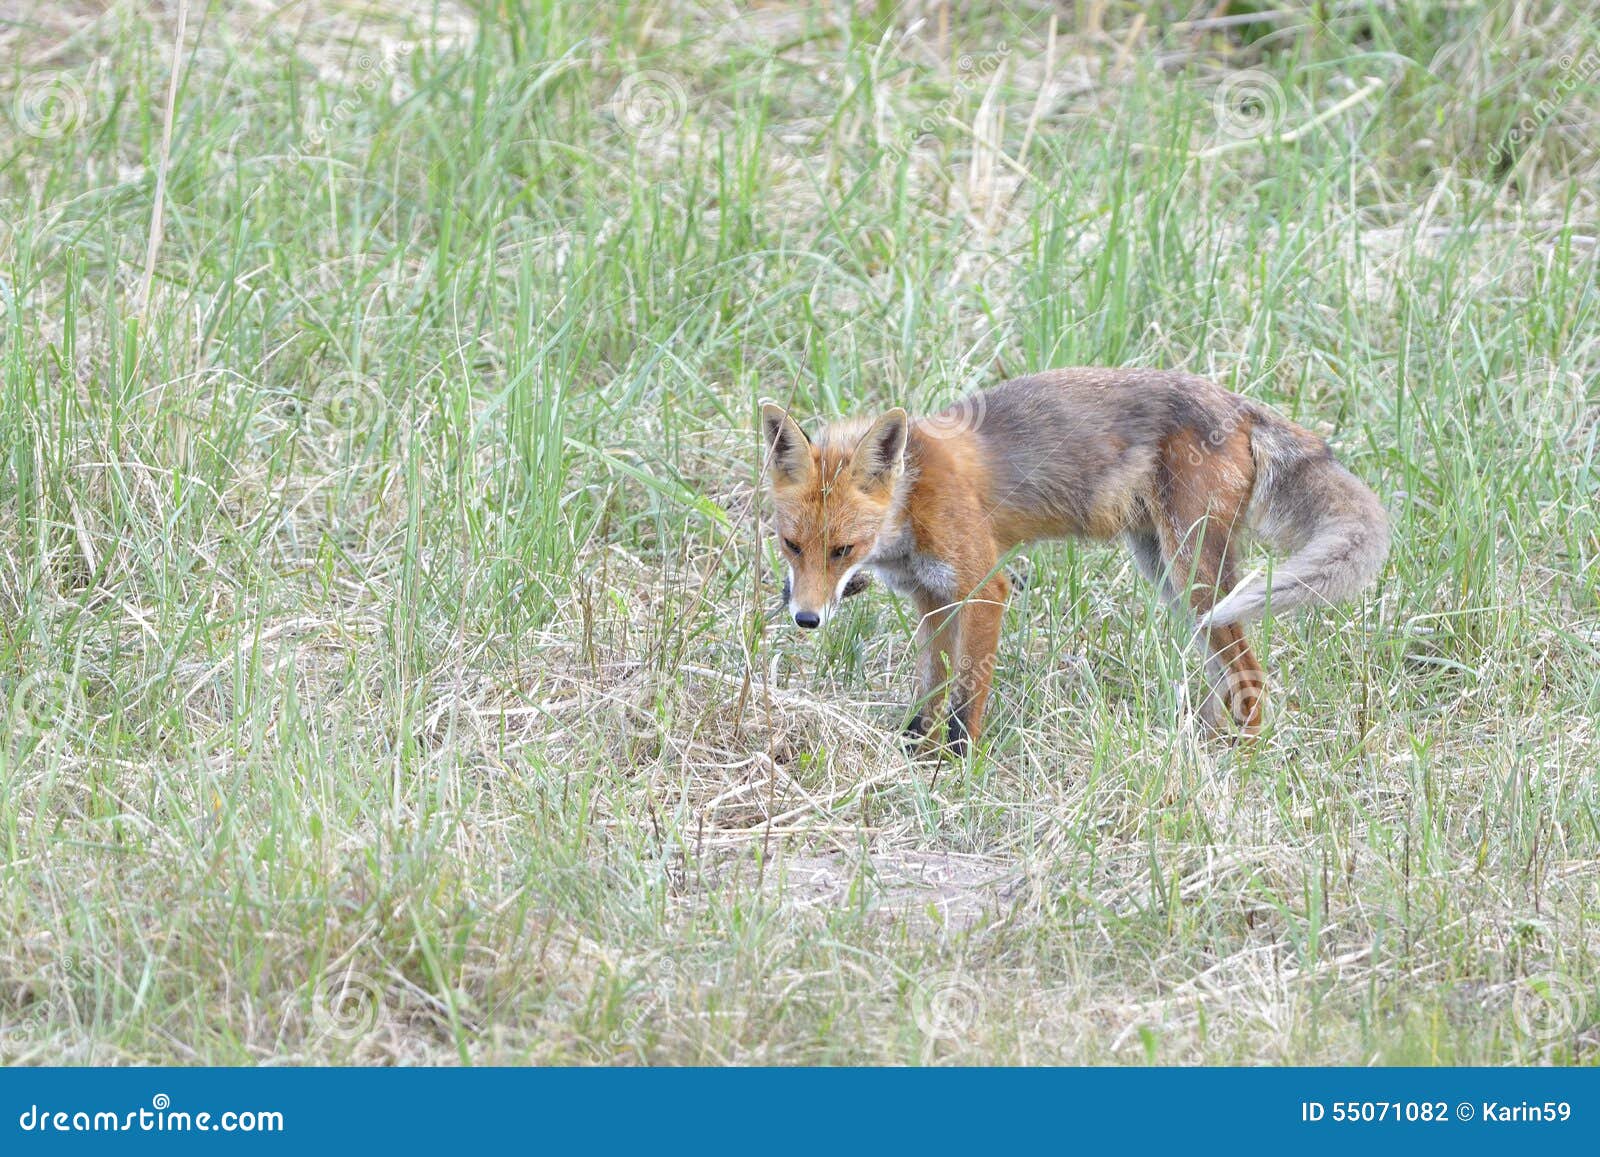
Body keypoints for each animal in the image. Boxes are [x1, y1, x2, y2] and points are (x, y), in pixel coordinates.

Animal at [759, 368, 1389, 753]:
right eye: (792, 545)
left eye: (842, 550)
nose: (806, 619)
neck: (911, 500)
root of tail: (1236, 404)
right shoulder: (932, 599)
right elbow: (930, 697)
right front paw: (915, 757)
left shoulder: (983, 588)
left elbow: (966, 703)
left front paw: (959, 772)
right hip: (1170, 576)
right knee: (1223, 676)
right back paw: (1208, 751)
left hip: (1196, 574)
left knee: (1251, 676)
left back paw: (1245, 763)